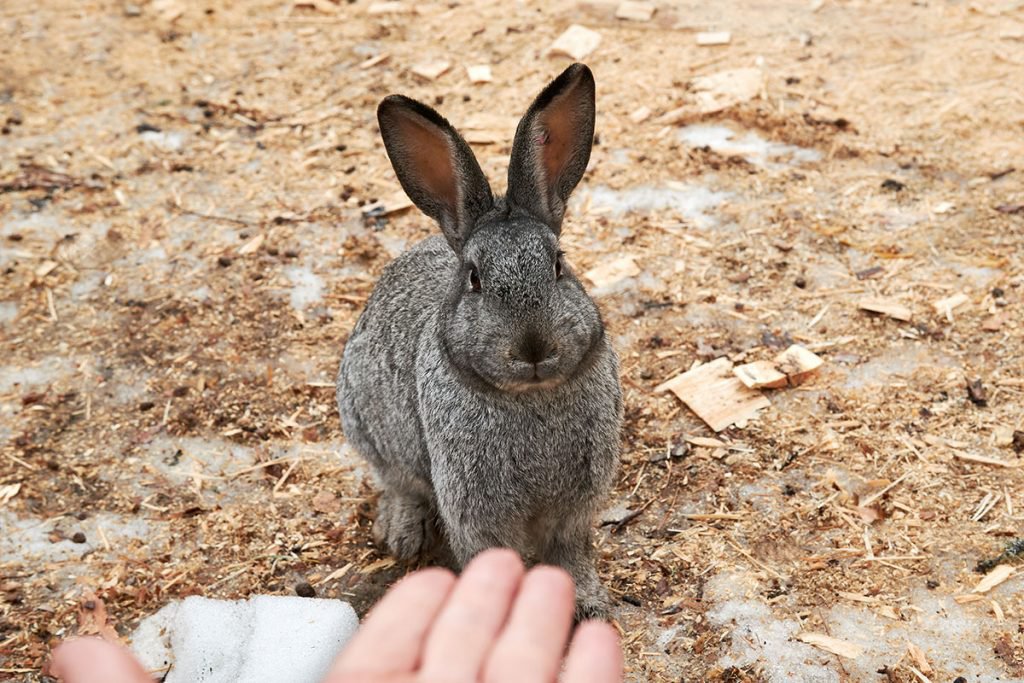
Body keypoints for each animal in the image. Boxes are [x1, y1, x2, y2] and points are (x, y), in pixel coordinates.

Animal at [336, 63, 622, 620]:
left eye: (559, 265)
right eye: (474, 278)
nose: (533, 349)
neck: (531, 395)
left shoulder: (576, 506)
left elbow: (569, 553)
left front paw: (586, 603)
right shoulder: (475, 507)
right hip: (365, 420)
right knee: (396, 479)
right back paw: (402, 530)